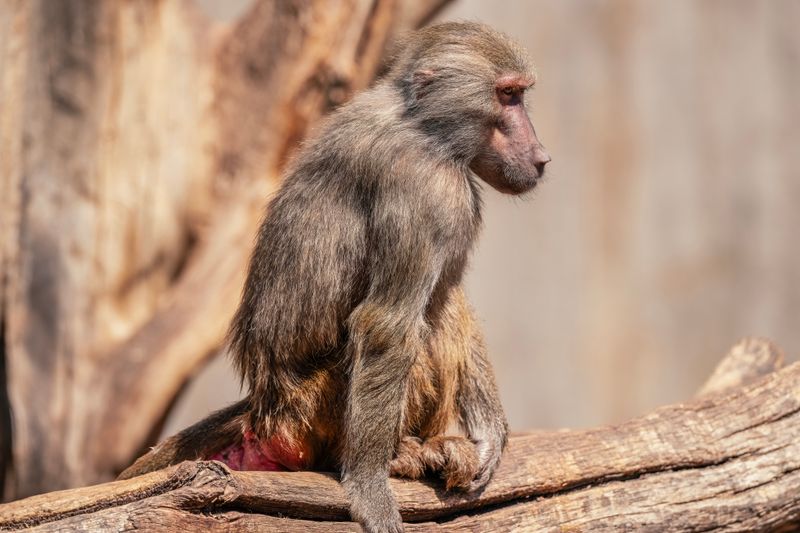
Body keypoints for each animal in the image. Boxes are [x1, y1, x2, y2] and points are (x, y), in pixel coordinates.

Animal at [119, 21, 550, 533]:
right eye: (507, 95)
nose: (541, 157)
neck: (421, 123)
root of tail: (265, 410)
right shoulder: (427, 187)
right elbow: (386, 323)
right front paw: (369, 490)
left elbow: (449, 292)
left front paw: (488, 437)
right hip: (316, 408)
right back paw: (397, 457)